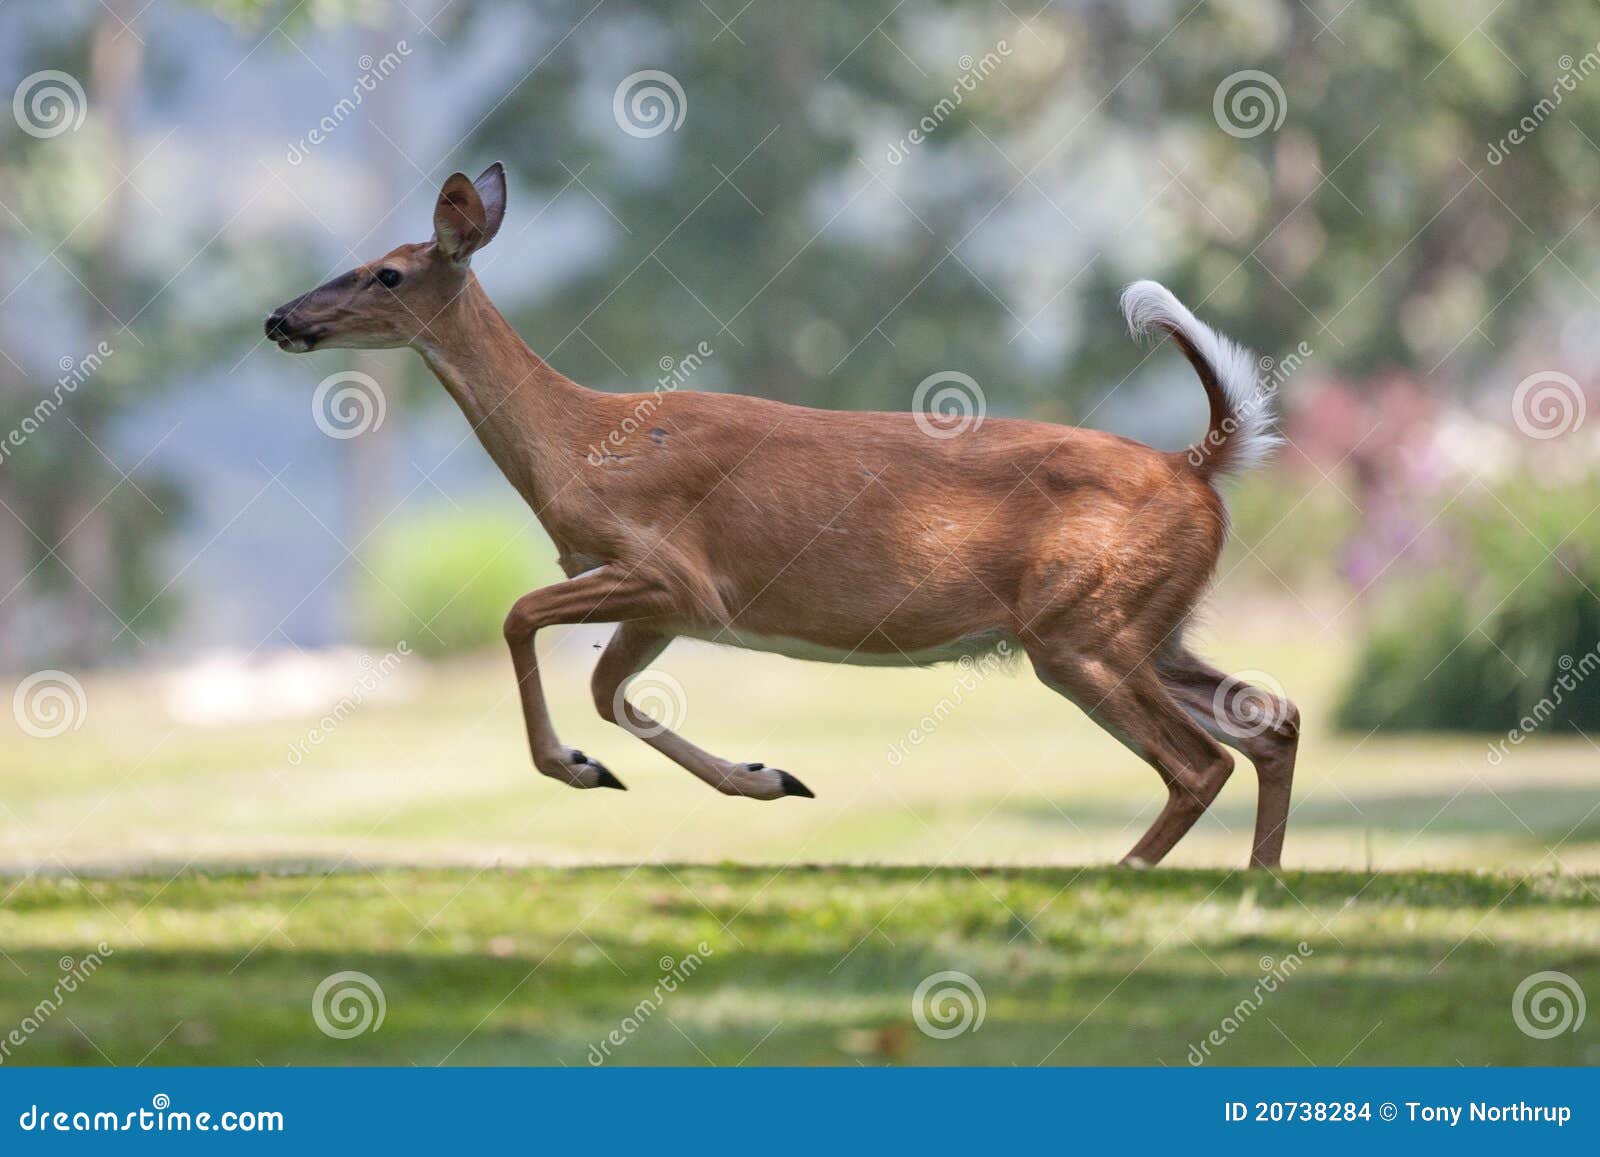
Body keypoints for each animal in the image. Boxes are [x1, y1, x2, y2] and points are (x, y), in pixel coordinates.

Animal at [265, 163, 1300, 868]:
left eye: (386, 273)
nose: (281, 318)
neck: (580, 441)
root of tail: (1195, 462)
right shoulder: (664, 602)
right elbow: (607, 689)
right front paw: (761, 778)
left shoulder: (673, 573)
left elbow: (522, 620)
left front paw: (576, 766)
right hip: (1144, 624)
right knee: (1272, 721)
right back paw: (1257, 881)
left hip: (1079, 628)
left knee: (1201, 761)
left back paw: (1123, 873)